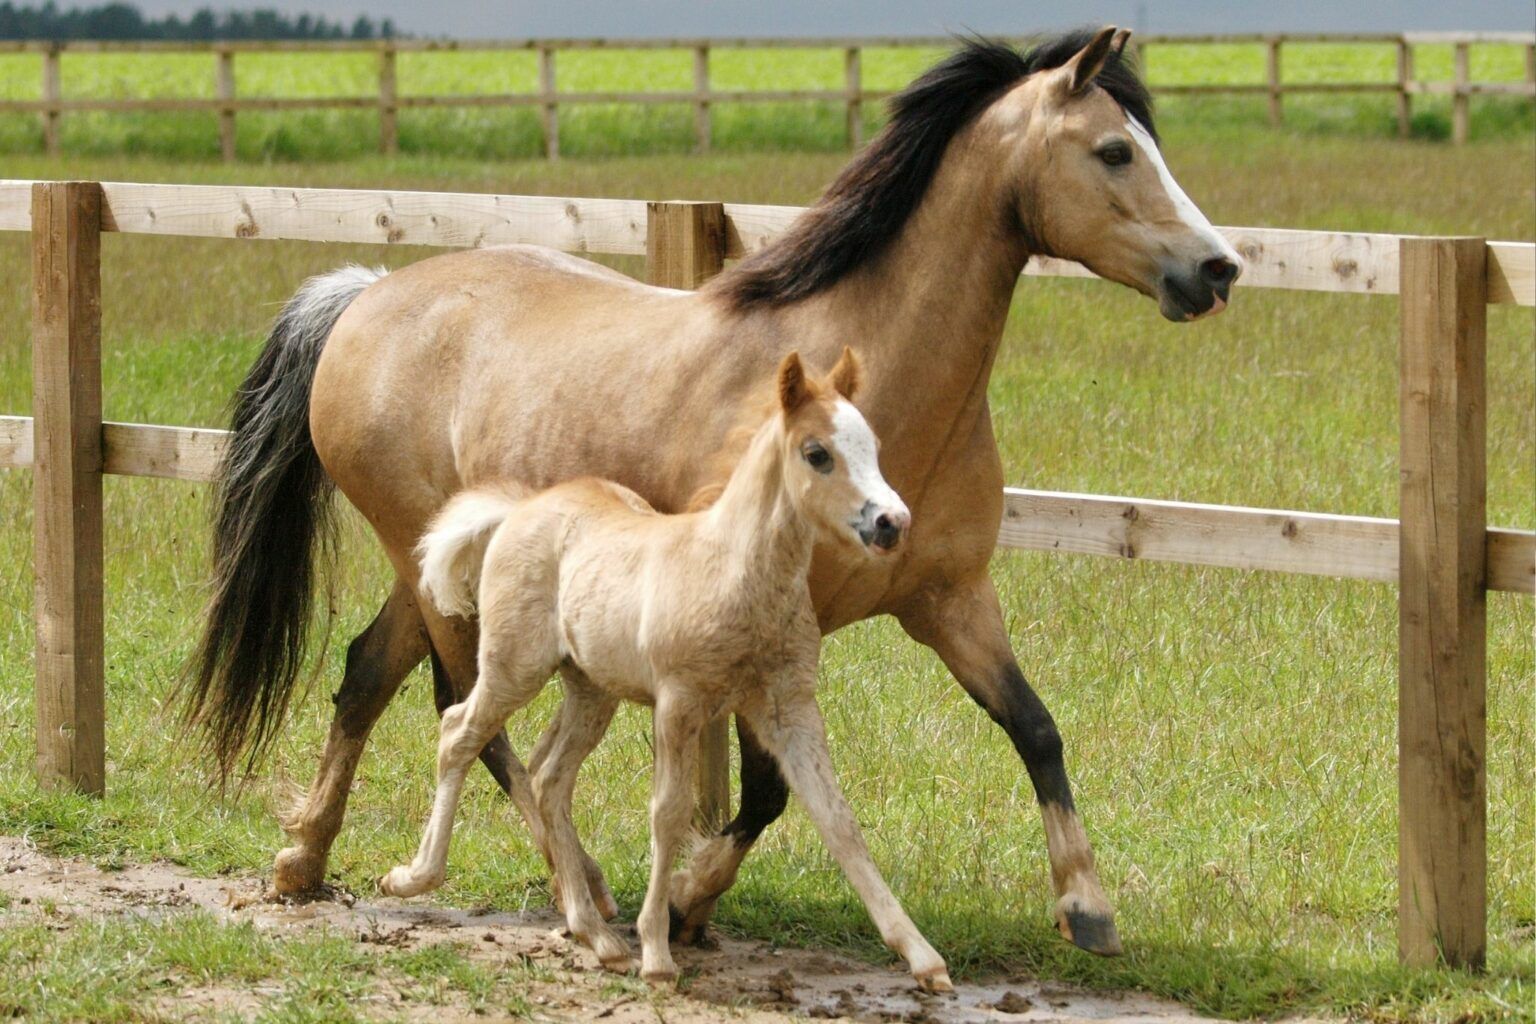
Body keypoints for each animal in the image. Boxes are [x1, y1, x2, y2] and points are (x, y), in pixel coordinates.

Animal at [380, 349, 950, 989]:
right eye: (817, 453)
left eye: (873, 446)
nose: (892, 523)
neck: (735, 574)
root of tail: (519, 508)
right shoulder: (680, 703)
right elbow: (669, 813)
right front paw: (657, 951)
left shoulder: (789, 707)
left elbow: (838, 820)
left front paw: (922, 957)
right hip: (513, 666)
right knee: (460, 731)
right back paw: (415, 877)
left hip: (591, 691)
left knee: (549, 779)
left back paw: (596, 935)